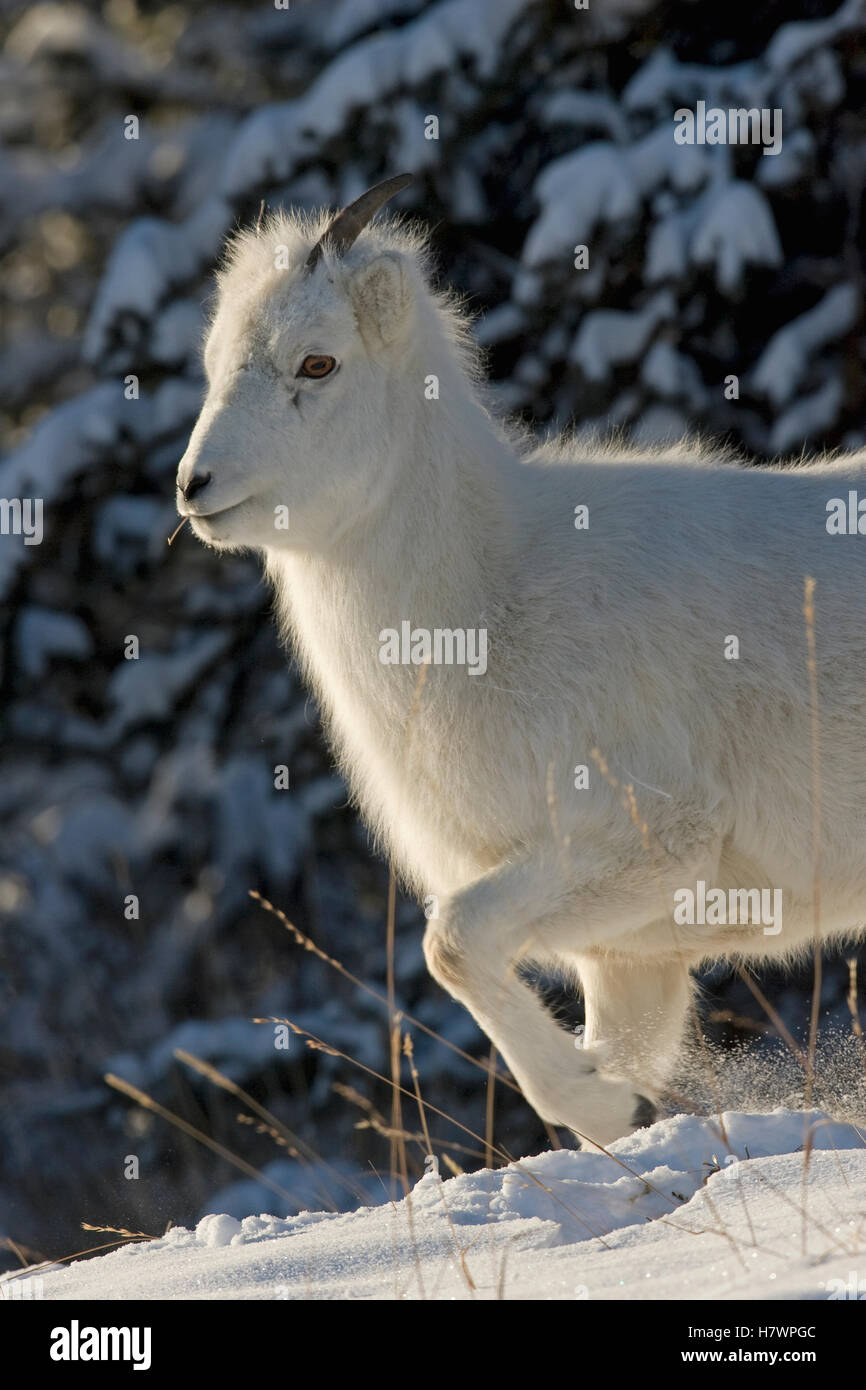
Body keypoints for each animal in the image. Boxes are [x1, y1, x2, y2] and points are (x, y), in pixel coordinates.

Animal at [176, 174, 866, 1147]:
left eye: (317, 364)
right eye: (216, 363)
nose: (193, 487)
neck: (485, 605)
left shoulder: (645, 842)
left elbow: (451, 943)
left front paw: (601, 1100)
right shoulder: (625, 957)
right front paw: (623, 1115)